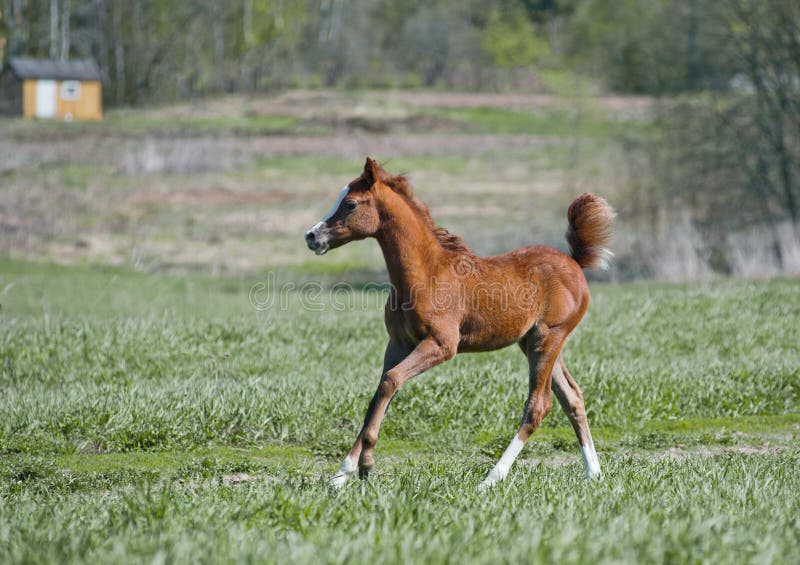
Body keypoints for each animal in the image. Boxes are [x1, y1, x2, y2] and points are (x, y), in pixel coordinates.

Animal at [304, 157, 615, 490]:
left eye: (350, 203)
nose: (311, 236)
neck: (426, 273)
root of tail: (574, 262)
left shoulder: (442, 345)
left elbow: (389, 382)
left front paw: (365, 465)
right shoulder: (398, 344)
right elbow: (381, 394)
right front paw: (342, 474)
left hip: (547, 339)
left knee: (538, 406)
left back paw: (490, 480)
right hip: (534, 342)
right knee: (572, 397)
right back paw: (593, 473)